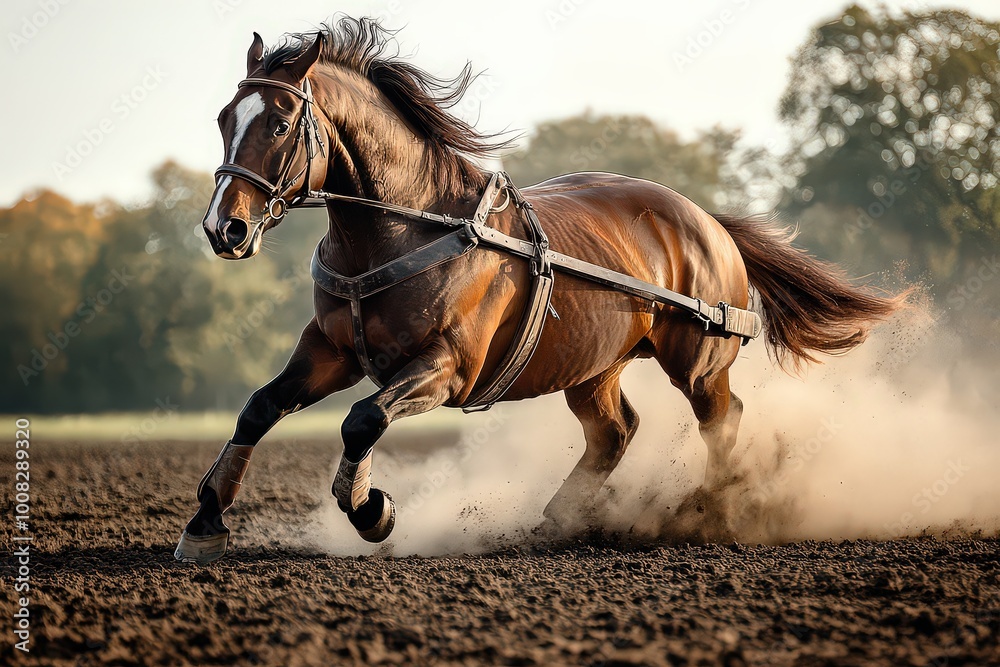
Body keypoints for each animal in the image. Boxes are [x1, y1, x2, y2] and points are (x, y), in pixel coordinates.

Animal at [175, 17, 901, 564]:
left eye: (277, 123)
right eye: (223, 118)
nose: (223, 227)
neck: (406, 227)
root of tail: (708, 222)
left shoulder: (449, 366)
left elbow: (364, 419)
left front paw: (371, 509)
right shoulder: (330, 350)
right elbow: (258, 408)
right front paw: (205, 523)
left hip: (698, 360)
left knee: (723, 421)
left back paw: (713, 513)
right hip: (594, 367)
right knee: (615, 430)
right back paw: (559, 518)